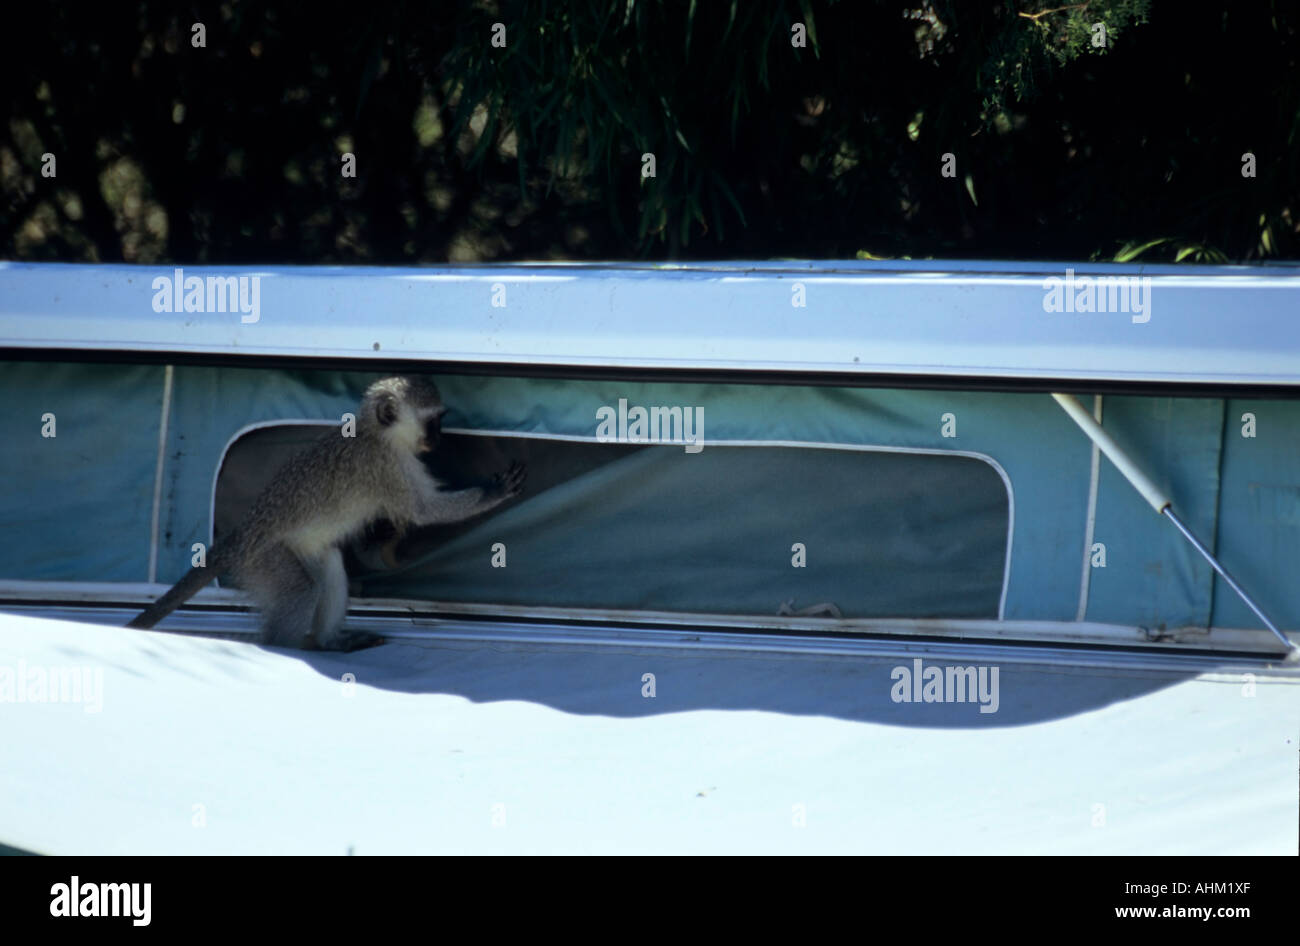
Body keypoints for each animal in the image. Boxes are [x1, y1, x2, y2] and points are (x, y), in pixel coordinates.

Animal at [127, 376, 526, 651]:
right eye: (431, 422)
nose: (439, 438)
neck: (375, 435)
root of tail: (242, 534)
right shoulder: (388, 468)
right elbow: (423, 511)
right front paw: (492, 493)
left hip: (306, 549)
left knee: (330, 569)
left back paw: (328, 641)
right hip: (265, 558)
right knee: (301, 590)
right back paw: (283, 649)